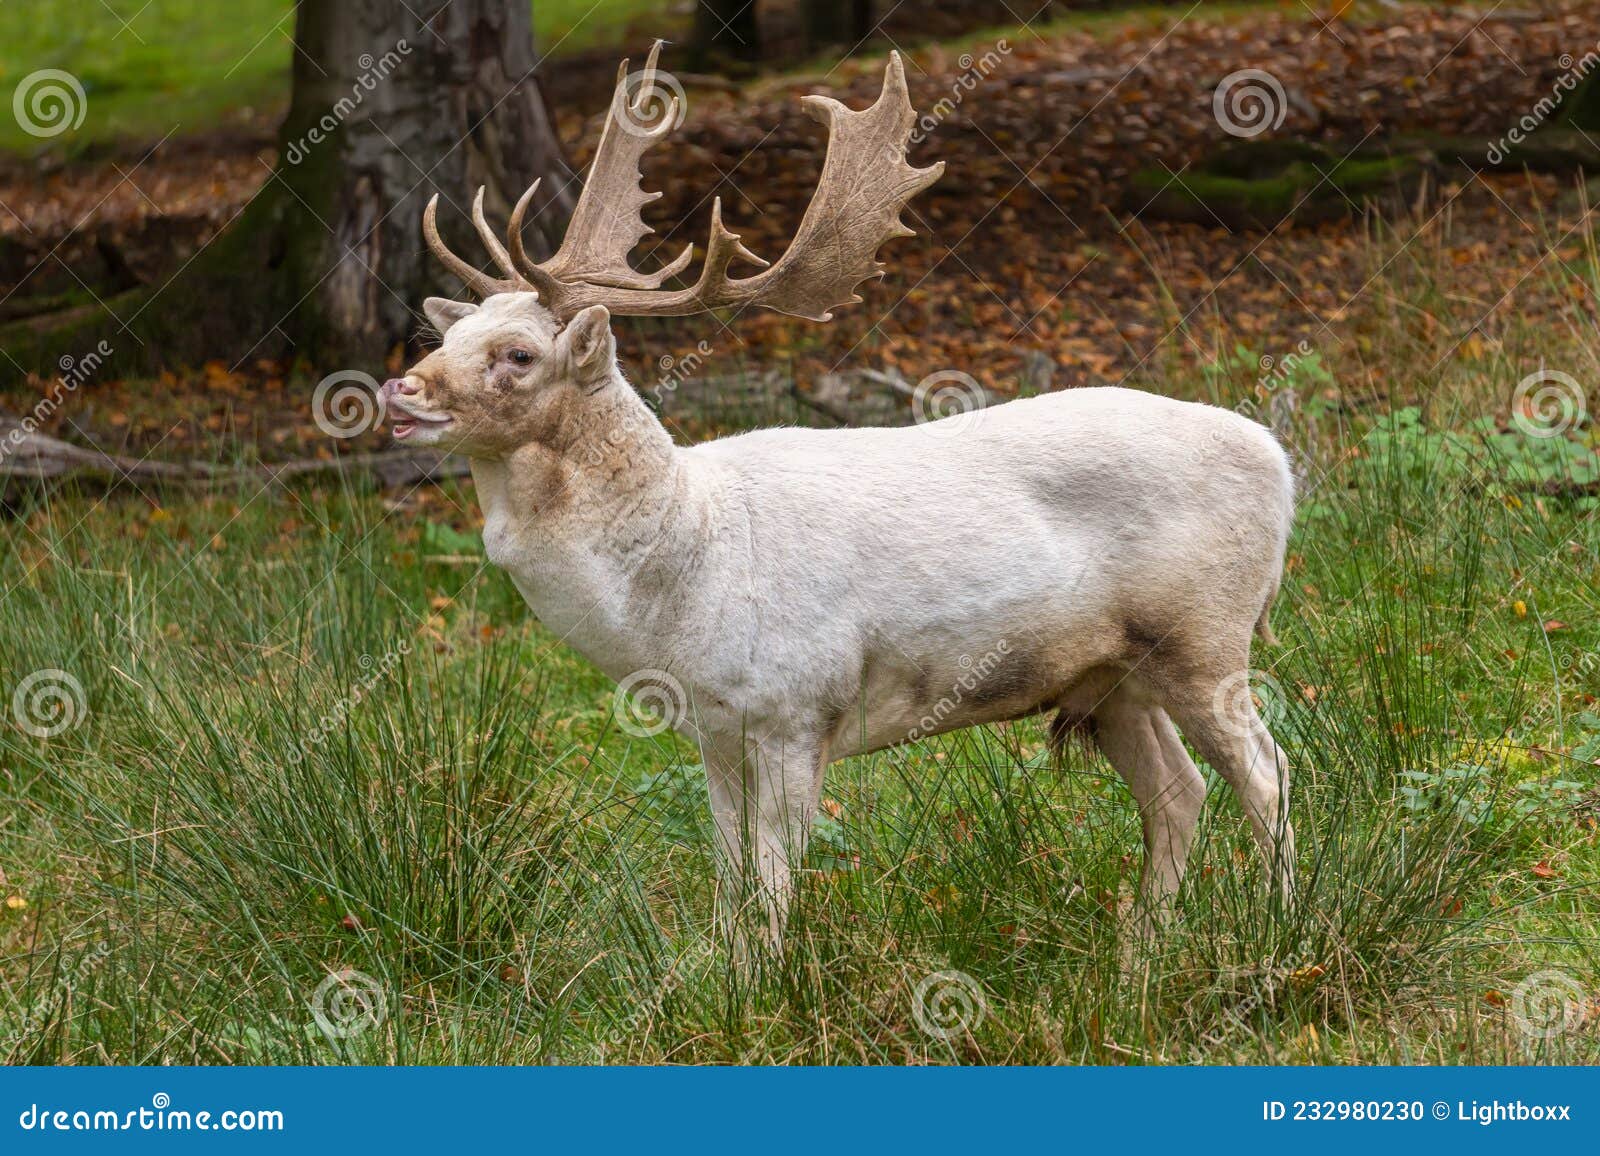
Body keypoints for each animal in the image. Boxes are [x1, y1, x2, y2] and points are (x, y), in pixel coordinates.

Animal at [382, 46, 1297, 953]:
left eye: (518, 353)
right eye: (447, 335)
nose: (399, 390)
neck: (683, 579)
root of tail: (1279, 464)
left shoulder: (797, 706)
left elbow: (774, 882)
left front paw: (774, 981)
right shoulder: (715, 730)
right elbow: (730, 878)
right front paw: (727, 975)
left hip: (1204, 634)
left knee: (1269, 772)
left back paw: (1280, 931)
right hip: (1108, 676)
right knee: (1179, 790)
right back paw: (1142, 950)